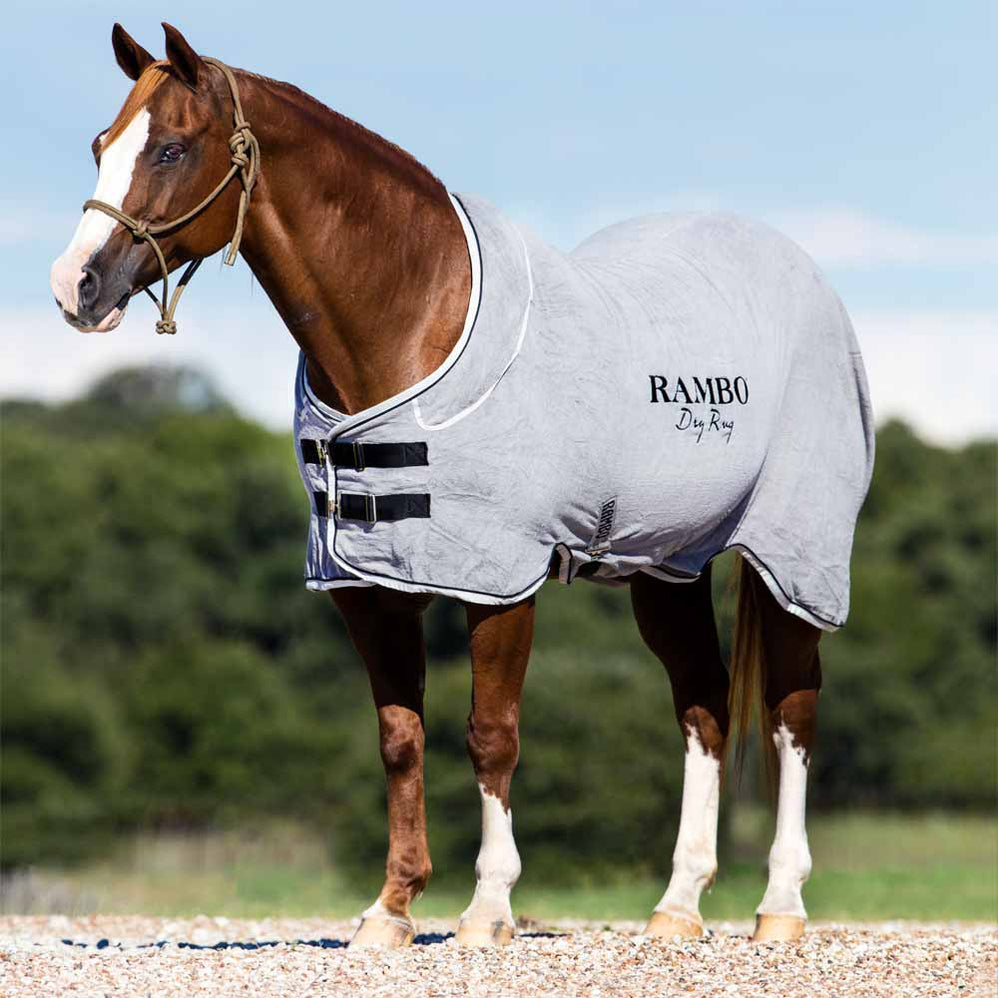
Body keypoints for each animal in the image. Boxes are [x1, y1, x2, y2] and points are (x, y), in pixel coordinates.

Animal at [50, 23, 874, 948]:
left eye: (171, 148)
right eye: (101, 145)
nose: (75, 286)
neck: (412, 318)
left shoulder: (500, 581)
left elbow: (491, 735)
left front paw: (487, 909)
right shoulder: (368, 586)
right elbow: (399, 738)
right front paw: (390, 909)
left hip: (792, 554)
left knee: (791, 713)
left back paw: (780, 907)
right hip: (666, 566)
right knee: (702, 705)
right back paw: (677, 906)